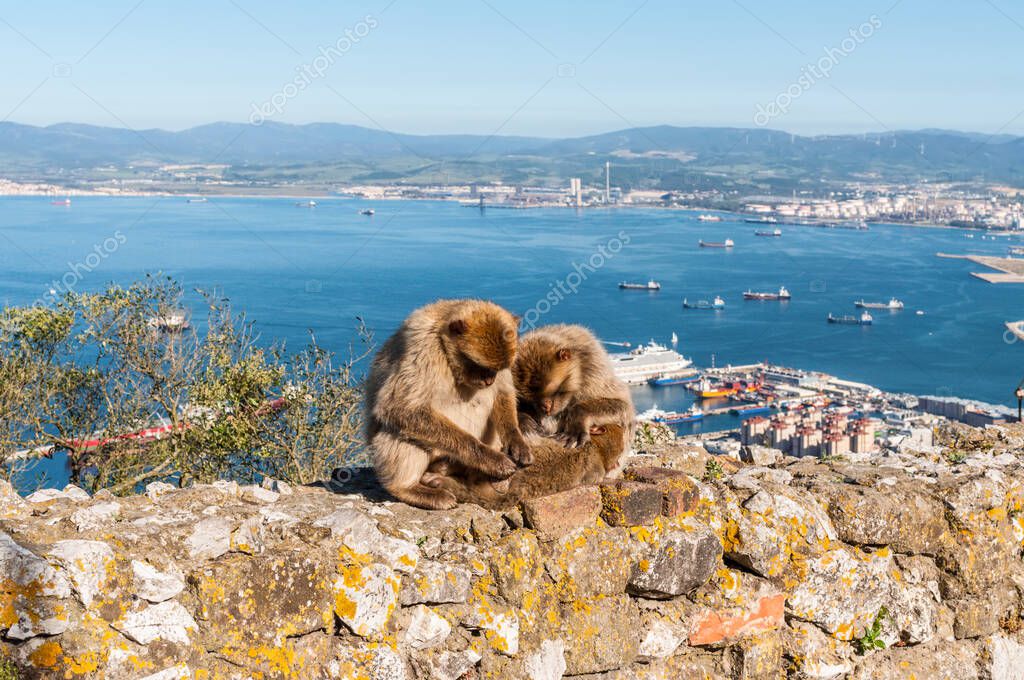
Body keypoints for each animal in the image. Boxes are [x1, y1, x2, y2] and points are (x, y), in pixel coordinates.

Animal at [364, 299, 533, 510]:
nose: (489, 380)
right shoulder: (424, 347)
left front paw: (516, 440)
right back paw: (407, 488)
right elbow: (400, 408)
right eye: (480, 366)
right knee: (400, 429)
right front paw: (491, 459)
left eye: (495, 369)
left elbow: (503, 391)